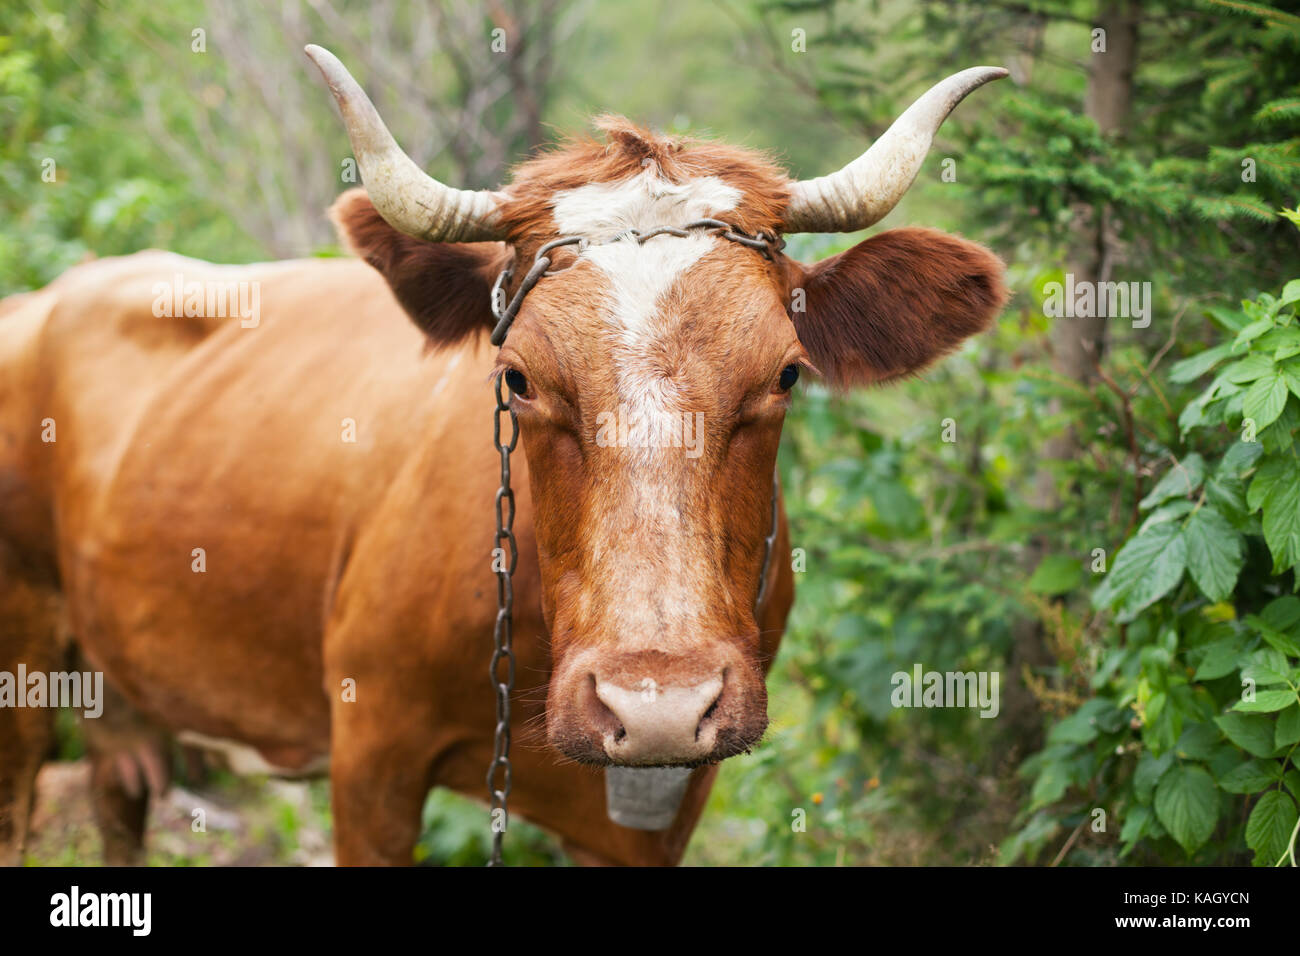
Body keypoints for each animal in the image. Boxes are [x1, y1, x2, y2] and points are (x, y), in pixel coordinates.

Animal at [0, 45, 1008, 866]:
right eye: (516, 376)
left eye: (789, 373)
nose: (655, 704)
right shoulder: (370, 762)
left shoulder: (663, 803)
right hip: (24, 658)